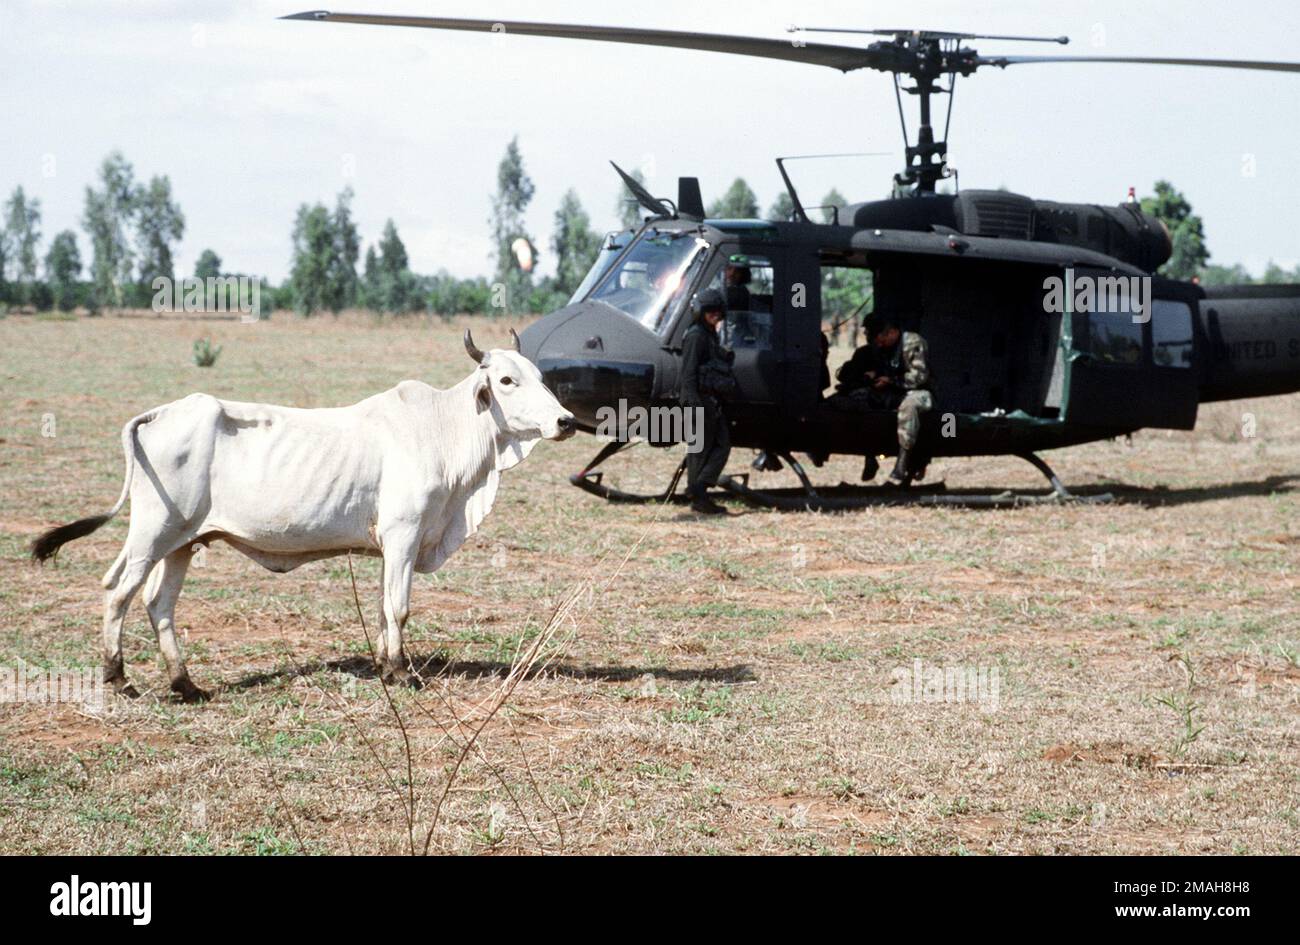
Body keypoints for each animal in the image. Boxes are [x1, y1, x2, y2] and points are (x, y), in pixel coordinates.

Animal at [30, 330, 575, 701]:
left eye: (543, 379)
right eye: (506, 380)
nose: (566, 421)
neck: (443, 430)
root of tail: (162, 412)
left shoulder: (390, 546)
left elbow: (383, 608)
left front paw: (385, 665)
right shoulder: (404, 535)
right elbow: (399, 607)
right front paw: (402, 673)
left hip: (183, 541)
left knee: (158, 603)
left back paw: (185, 685)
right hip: (151, 533)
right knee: (118, 591)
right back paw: (119, 678)